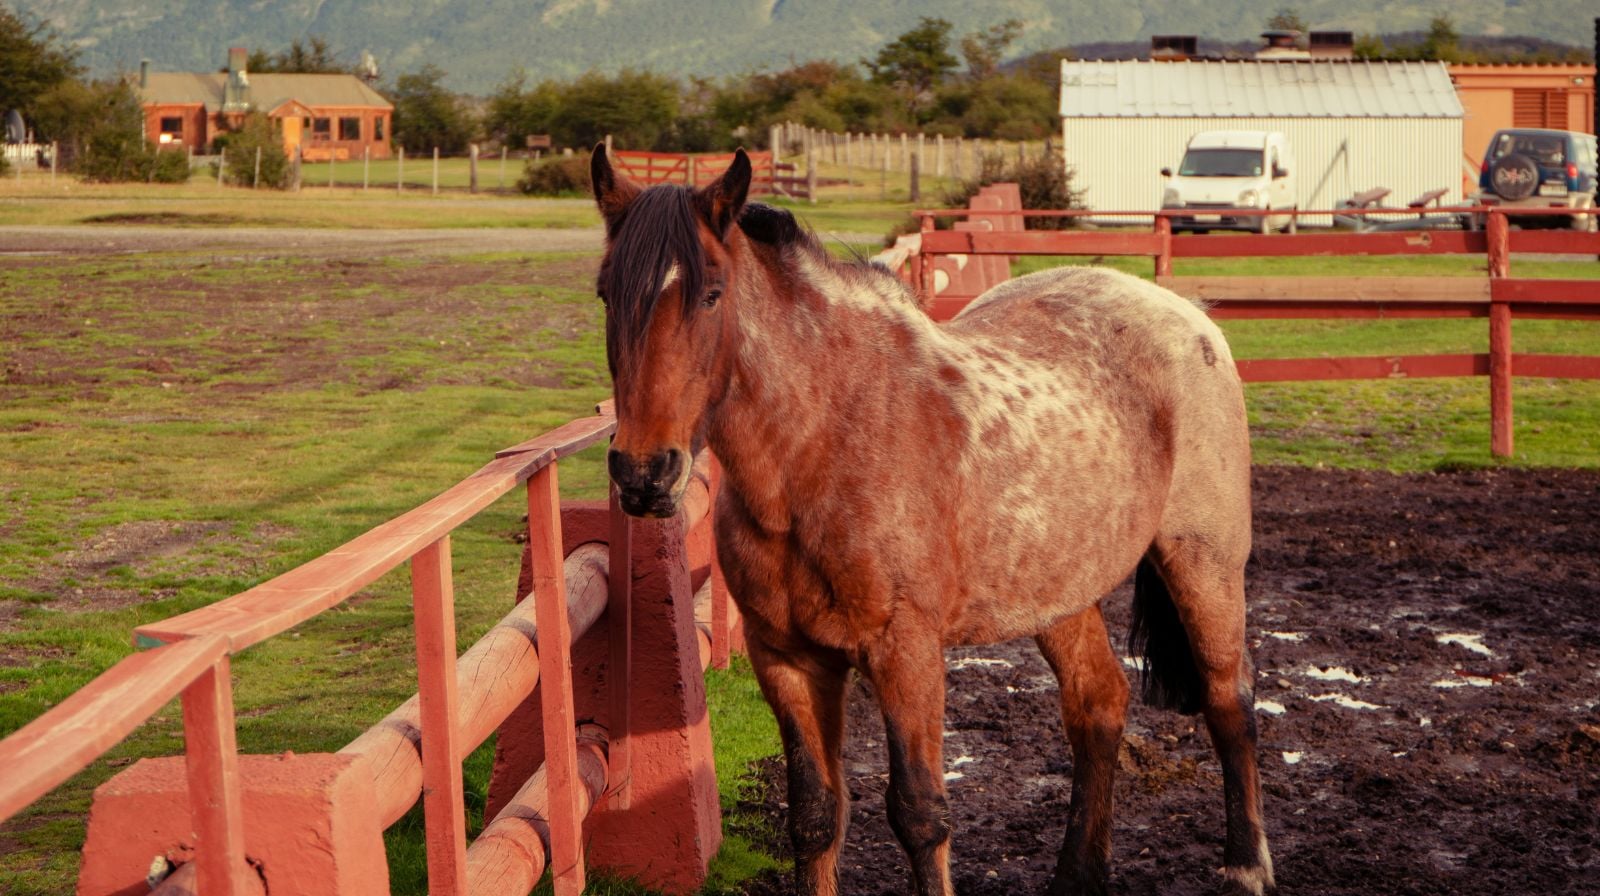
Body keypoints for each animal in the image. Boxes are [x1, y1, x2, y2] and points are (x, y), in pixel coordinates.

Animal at [590, 147, 1276, 896]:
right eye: (606, 294)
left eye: (711, 294)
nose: (643, 473)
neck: (822, 445)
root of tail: (1188, 316)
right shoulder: (787, 660)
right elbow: (815, 813)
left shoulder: (907, 653)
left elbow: (920, 813)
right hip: (1061, 593)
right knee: (1097, 706)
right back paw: (1078, 875)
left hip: (1204, 563)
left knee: (1228, 701)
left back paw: (1247, 866)